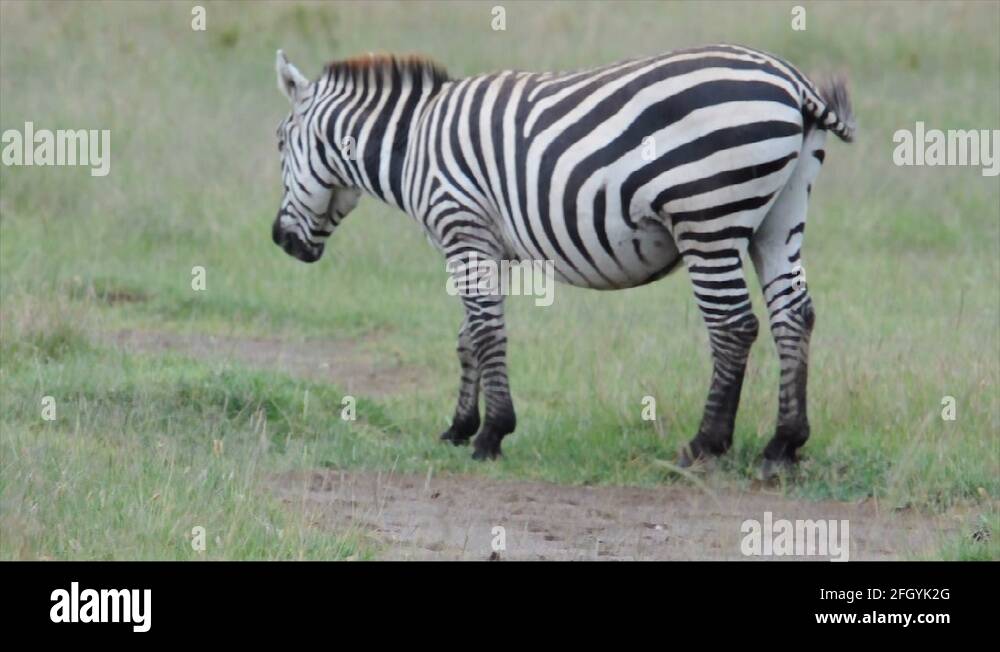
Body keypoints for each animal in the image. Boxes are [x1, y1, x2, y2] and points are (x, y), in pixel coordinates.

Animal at [271, 45, 855, 476]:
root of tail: (793, 81)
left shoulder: (463, 229)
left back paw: (703, 445)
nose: (280, 240)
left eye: (279, 145)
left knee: (733, 325)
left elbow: (486, 335)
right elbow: (469, 337)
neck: (413, 145)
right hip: (779, 219)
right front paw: (459, 428)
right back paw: (783, 445)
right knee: (793, 316)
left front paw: (490, 435)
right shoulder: (488, 246)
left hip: (706, 218)